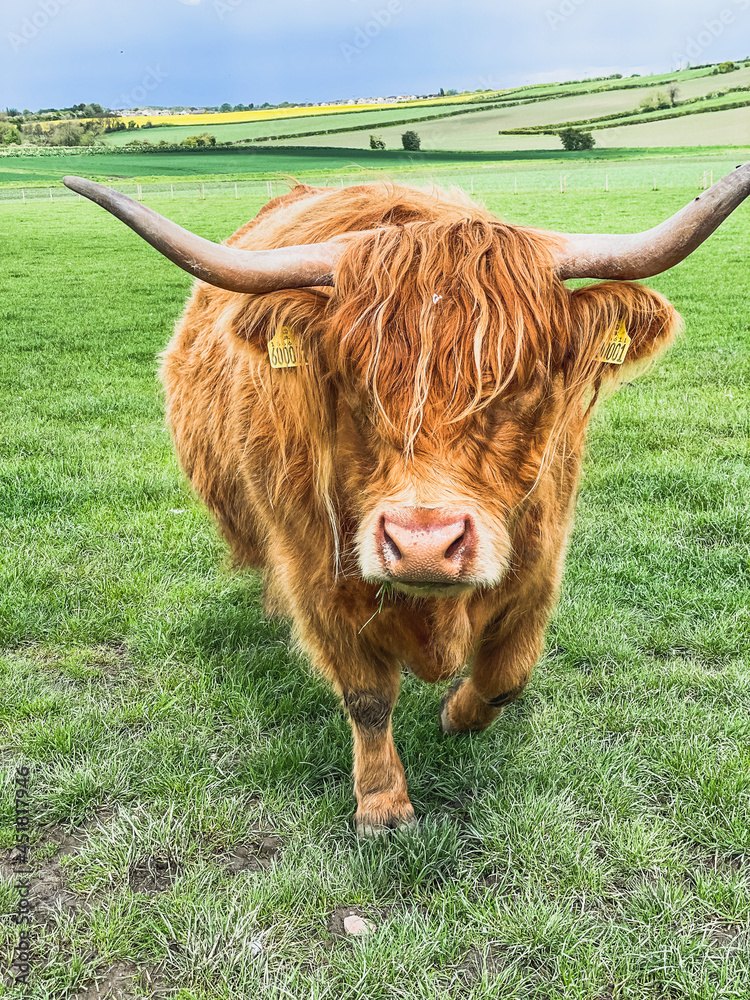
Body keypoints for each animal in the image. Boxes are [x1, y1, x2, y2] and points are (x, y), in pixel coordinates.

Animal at [64, 167, 749, 835]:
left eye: (524, 384)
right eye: (352, 383)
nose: (423, 544)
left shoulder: (538, 562)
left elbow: (505, 677)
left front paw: (454, 717)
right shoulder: (319, 575)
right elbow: (367, 697)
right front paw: (382, 804)